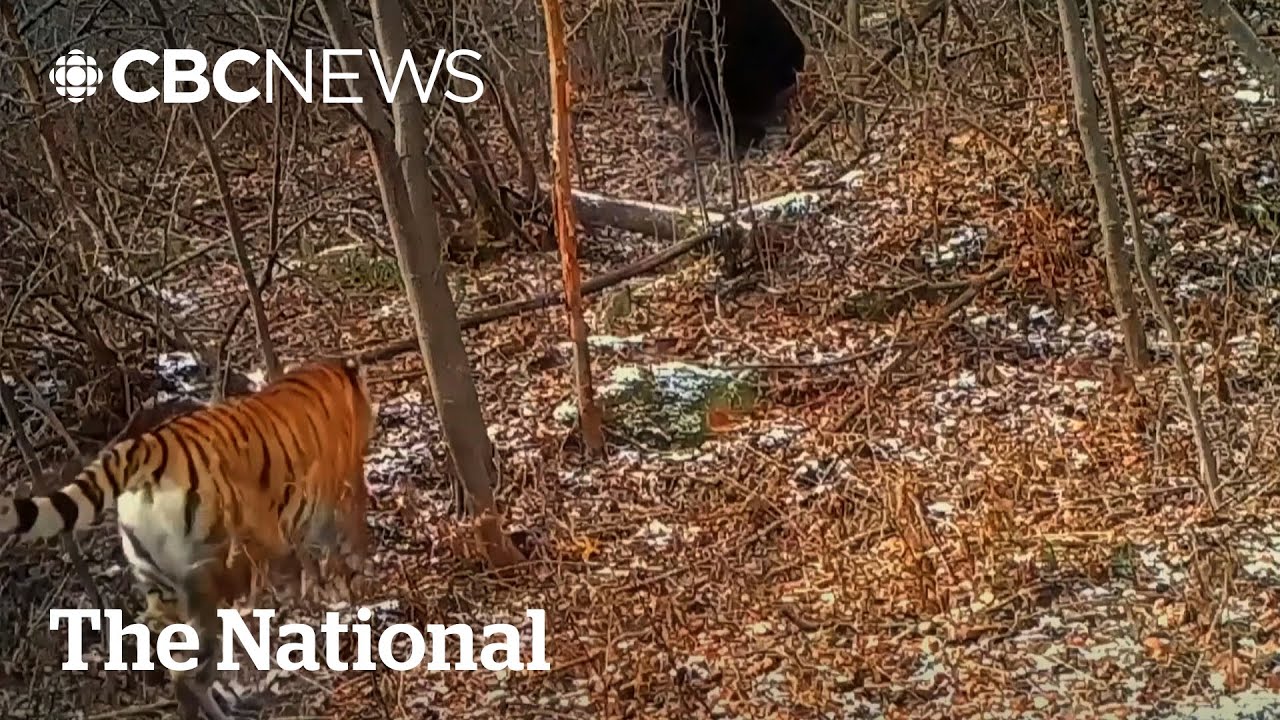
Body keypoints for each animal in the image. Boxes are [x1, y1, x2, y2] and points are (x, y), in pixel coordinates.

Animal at [0, 356, 378, 720]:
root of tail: (145, 445)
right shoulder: (342, 490)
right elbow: (342, 542)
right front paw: (351, 581)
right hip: (213, 572)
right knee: (190, 665)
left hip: (162, 585)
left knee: (172, 658)